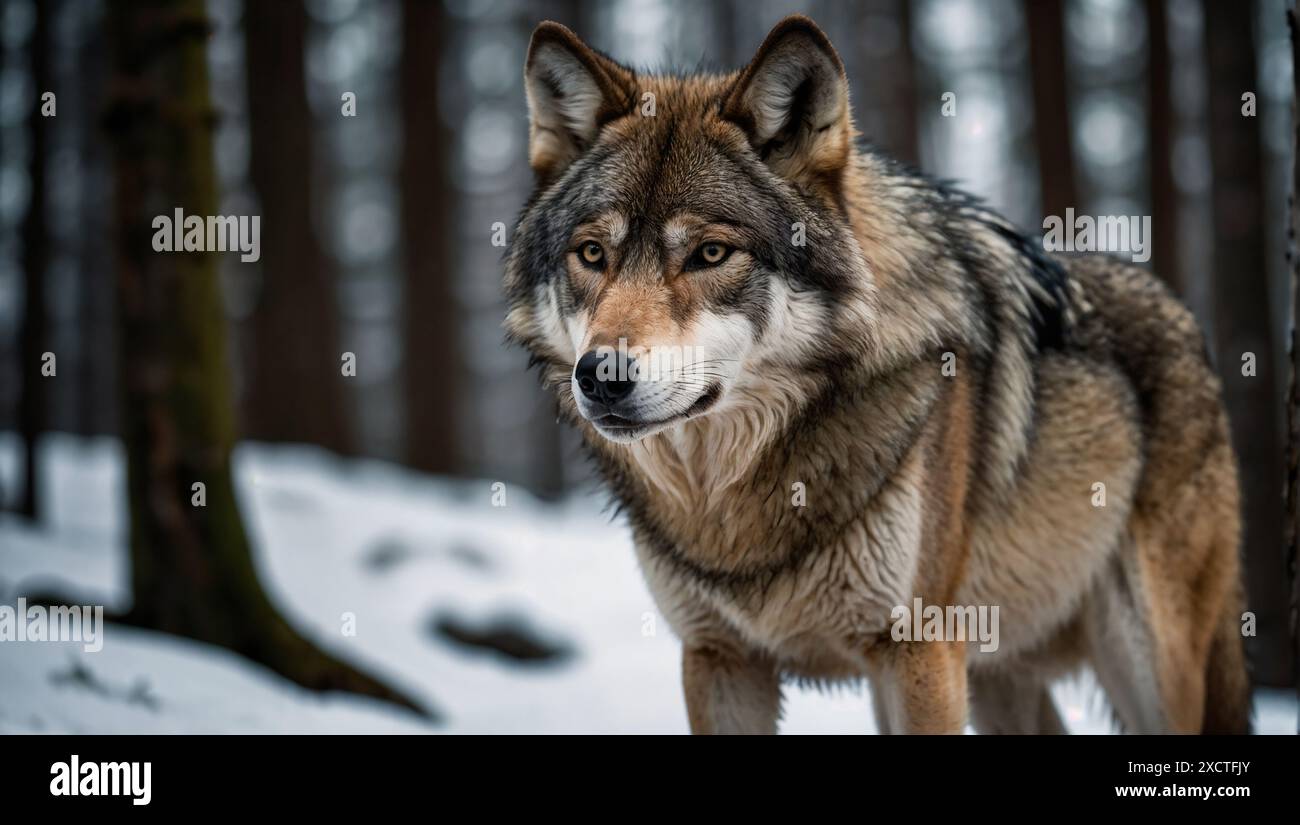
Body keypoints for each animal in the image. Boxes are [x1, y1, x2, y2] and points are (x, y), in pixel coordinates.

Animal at [504, 15, 1250, 734]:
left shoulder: (917, 650)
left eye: (711, 254)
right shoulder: (718, 658)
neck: (735, 506)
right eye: (592, 254)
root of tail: (1184, 316)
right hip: (999, 679)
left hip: (1148, 665)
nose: (601, 376)